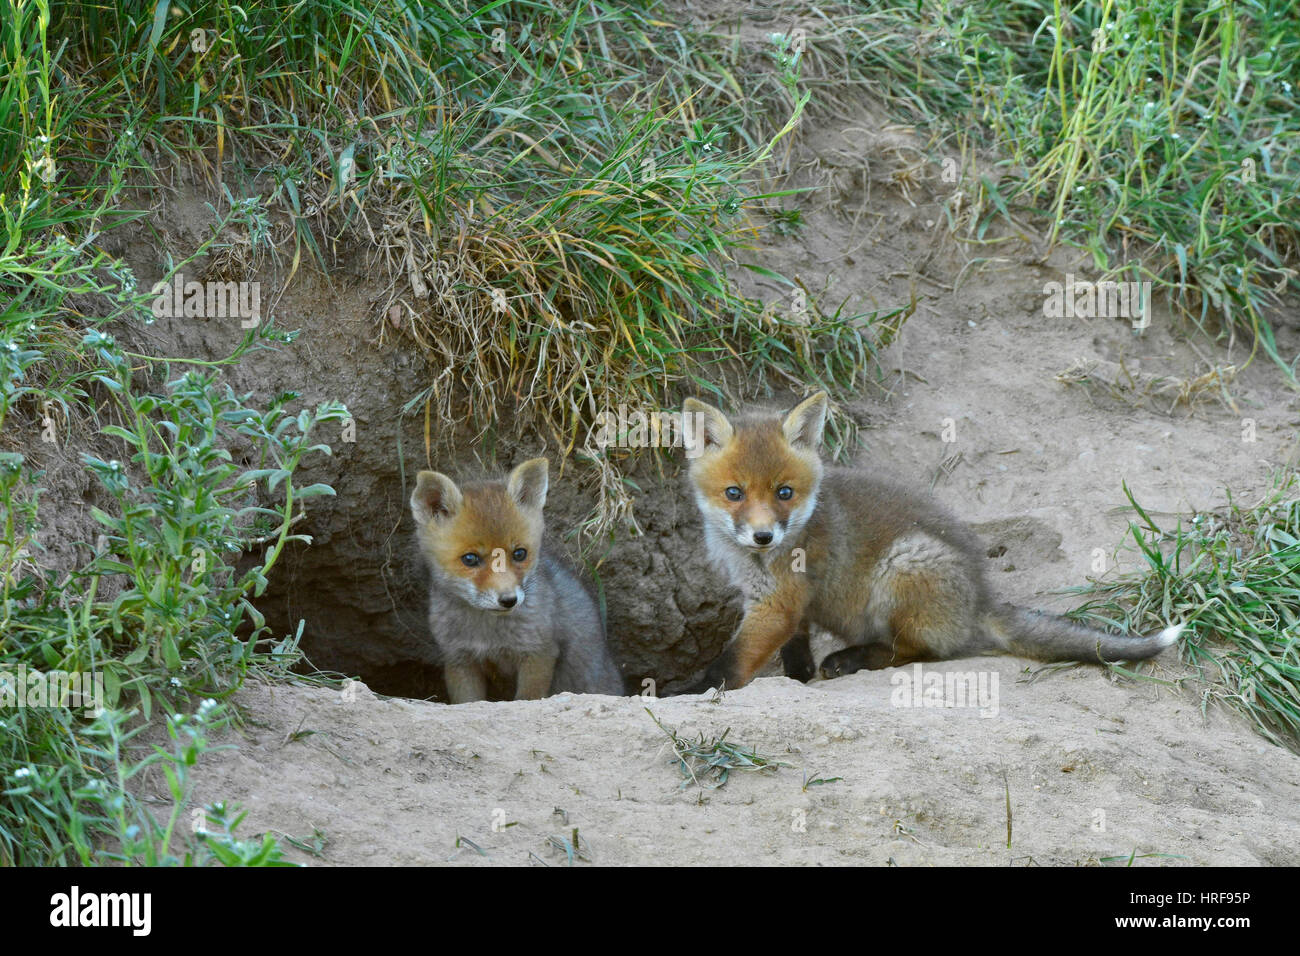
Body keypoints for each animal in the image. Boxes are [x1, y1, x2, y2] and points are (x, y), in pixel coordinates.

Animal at [409, 457, 624, 703]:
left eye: (519, 554)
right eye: (470, 559)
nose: (508, 600)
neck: (489, 634)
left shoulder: (538, 653)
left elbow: (527, 698)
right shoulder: (459, 660)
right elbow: (468, 701)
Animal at [675, 391, 1184, 693]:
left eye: (784, 493)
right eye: (734, 493)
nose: (763, 536)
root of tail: (982, 600)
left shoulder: (776, 602)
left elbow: (728, 667)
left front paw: (690, 692)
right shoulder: (789, 605)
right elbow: (793, 650)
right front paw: (798, 678)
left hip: (904, 568)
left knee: (917, 652)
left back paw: (853, 659)